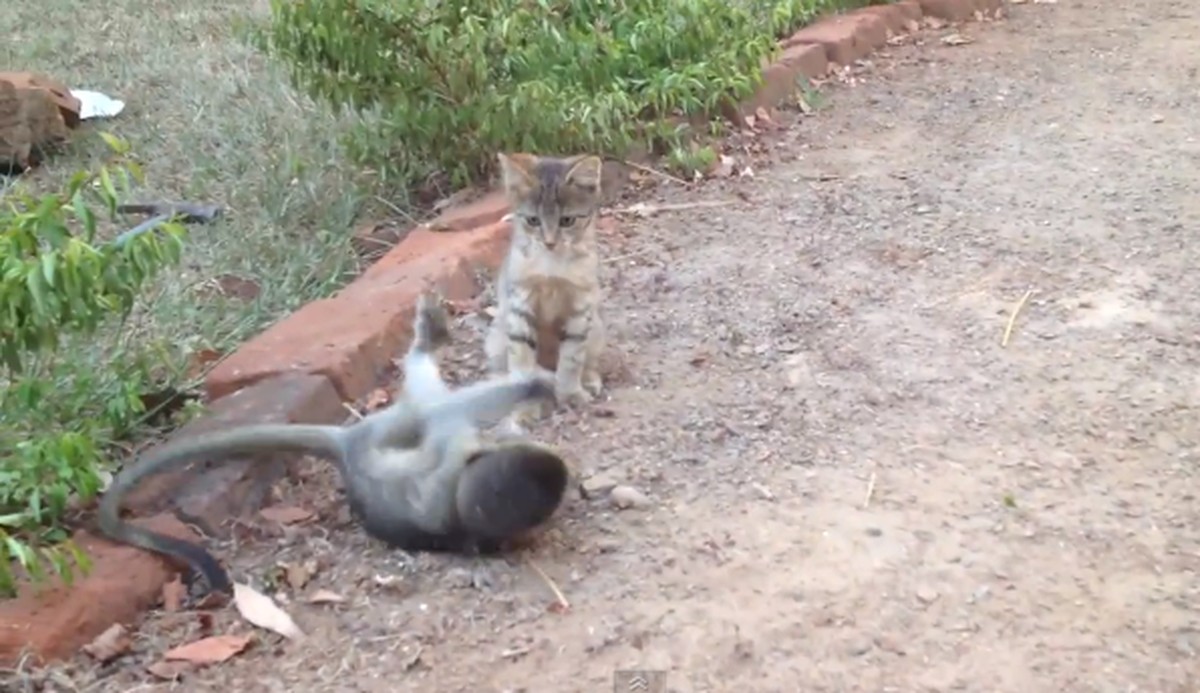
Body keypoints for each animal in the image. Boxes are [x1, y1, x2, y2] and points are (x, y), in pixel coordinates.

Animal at [98, 293, 574, 597]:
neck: (460, 506)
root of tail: (347, 444)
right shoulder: (452, 453)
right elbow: (450, 424)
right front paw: (533, 391)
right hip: (391, 425)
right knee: (433, 406)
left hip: (386, 425)